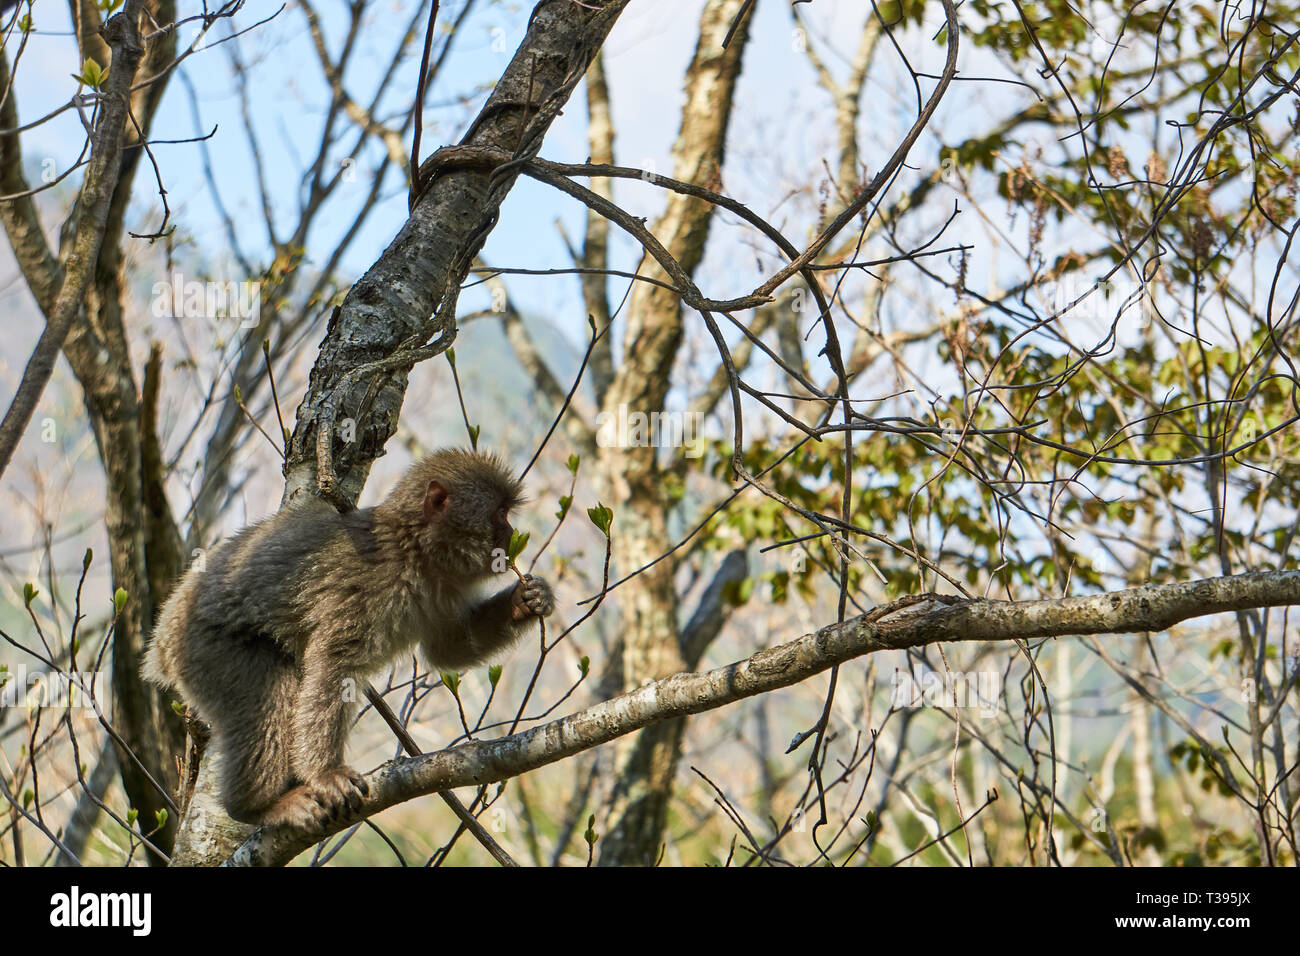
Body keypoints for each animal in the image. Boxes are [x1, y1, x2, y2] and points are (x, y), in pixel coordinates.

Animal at [141, 448, 554, 830]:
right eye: (499, 513)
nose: (510, 535)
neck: (414, 552)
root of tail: (161, 640)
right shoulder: (367, 588)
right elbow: (332, 666)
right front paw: (326, 774)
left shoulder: (444, 590)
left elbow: (449, 647)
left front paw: (525, 601)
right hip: (205, 649)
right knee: (269, 692)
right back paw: (256, 807)